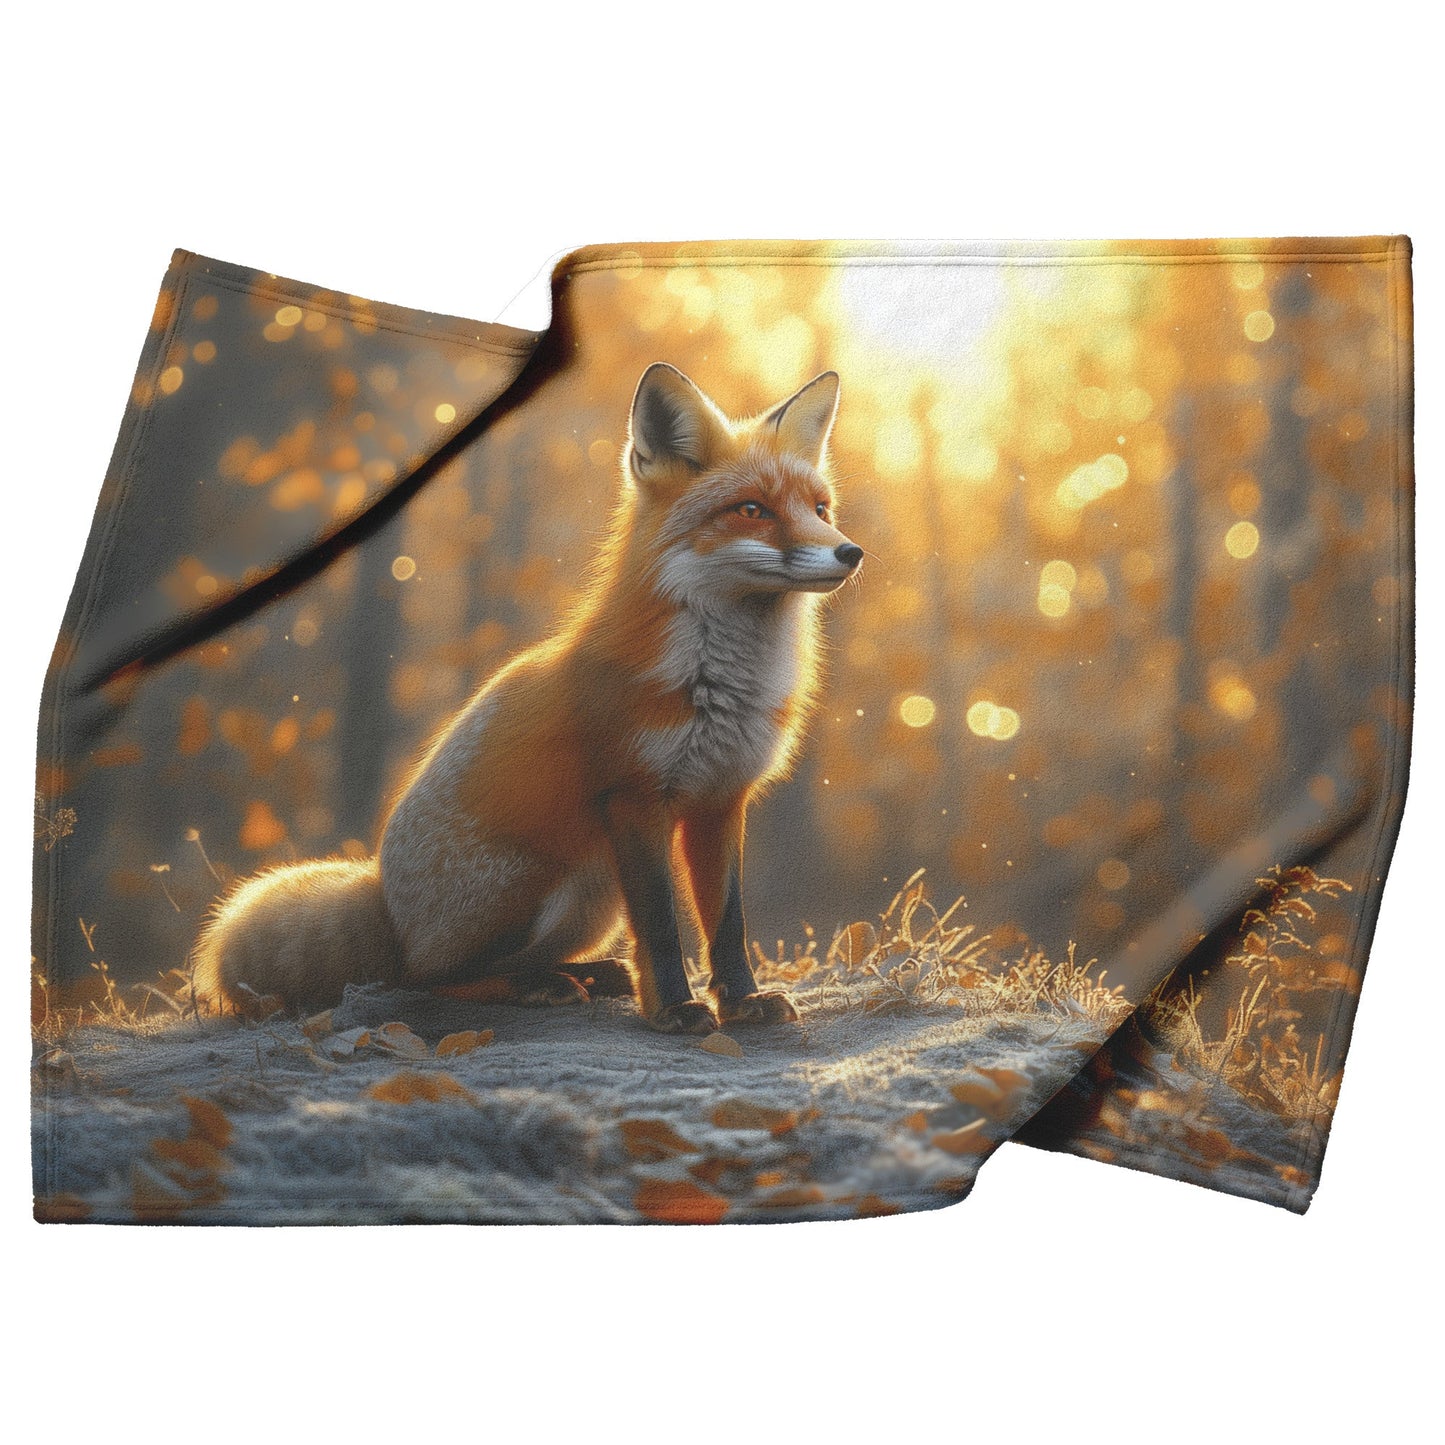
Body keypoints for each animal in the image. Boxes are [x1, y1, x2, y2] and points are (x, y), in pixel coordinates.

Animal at [193, 362, 863, 1034]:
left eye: (820, 508)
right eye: (752, 509)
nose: (850, 551)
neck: (720, 687)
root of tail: (385, 901)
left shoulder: (720, 799)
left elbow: (726, 924)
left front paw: (744, 1002)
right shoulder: (633, 797)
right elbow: (660, 926)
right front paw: (675, 1010)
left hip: (593, 897)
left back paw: (589, 975)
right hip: (539, 883)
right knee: (428, 978)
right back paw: (539, 986)